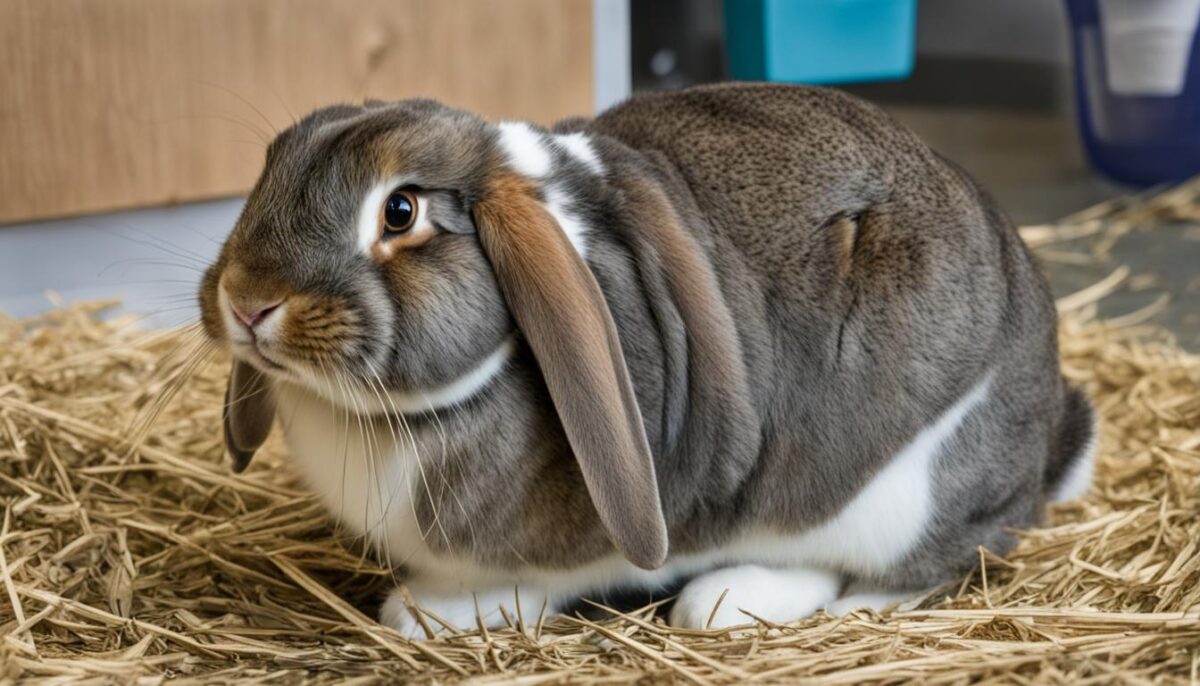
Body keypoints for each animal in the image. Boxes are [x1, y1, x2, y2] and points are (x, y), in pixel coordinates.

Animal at [198, 84, 1097, 636]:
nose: (248, 301)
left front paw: (429, 616)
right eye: (273, 166)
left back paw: (747, 602)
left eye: (401, 211)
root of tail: (1047, 441)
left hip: (906, 491)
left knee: (918, 562)